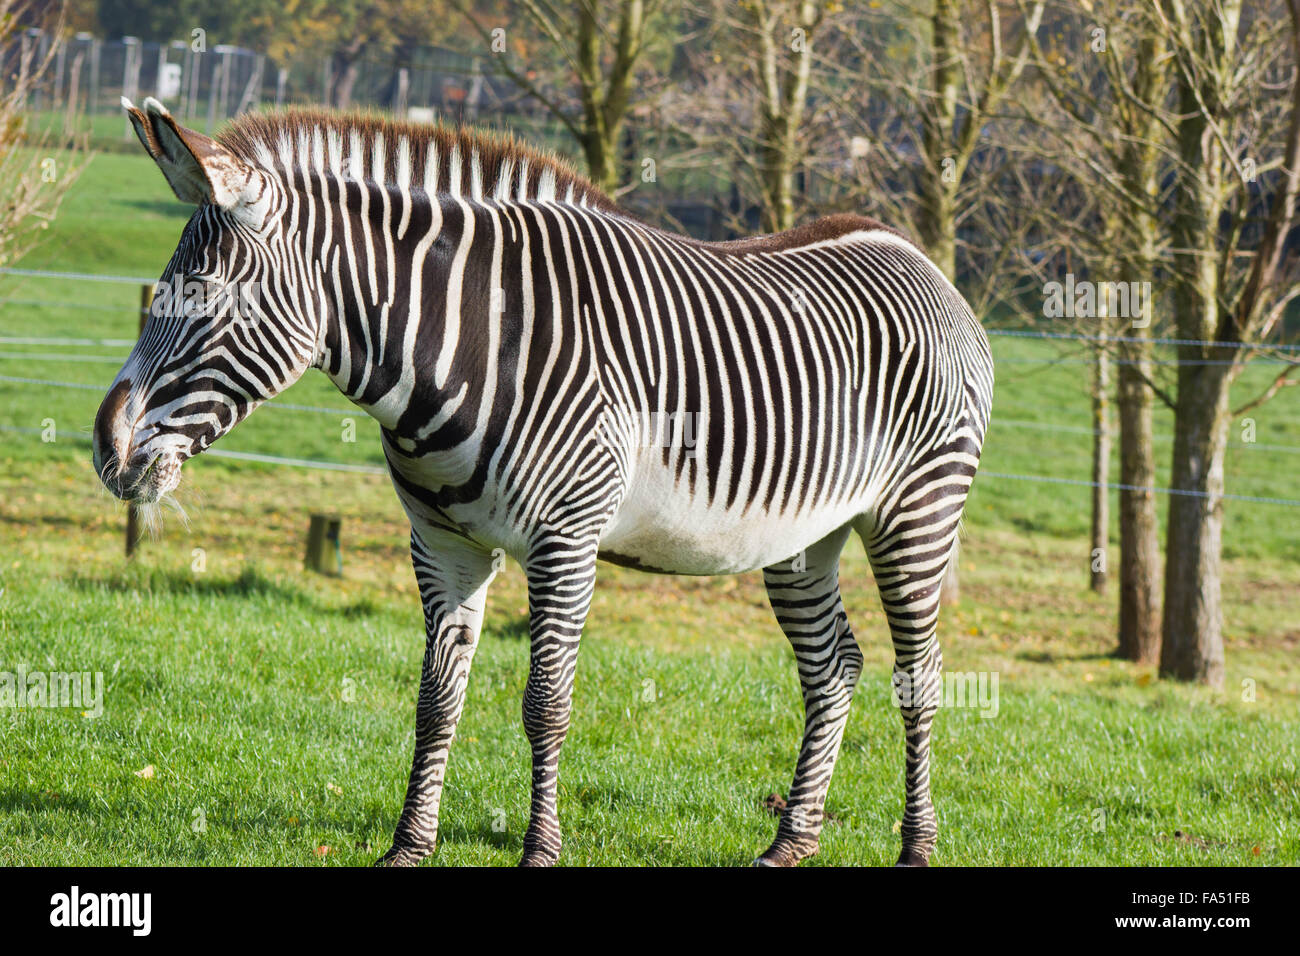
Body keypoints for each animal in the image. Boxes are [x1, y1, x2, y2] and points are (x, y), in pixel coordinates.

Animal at [95, 98, 993, 867]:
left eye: (205, 293)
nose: (109, 448)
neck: (470, 347)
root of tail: (918, 256)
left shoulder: (567, 541)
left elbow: (545, 704)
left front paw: (540, 849)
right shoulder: (443, 543)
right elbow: (435, 700)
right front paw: (408, 846)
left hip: (917, 513)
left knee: (919, 676)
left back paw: (917, 846)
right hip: (804, 535)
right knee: (832, 665)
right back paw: (790, 842)